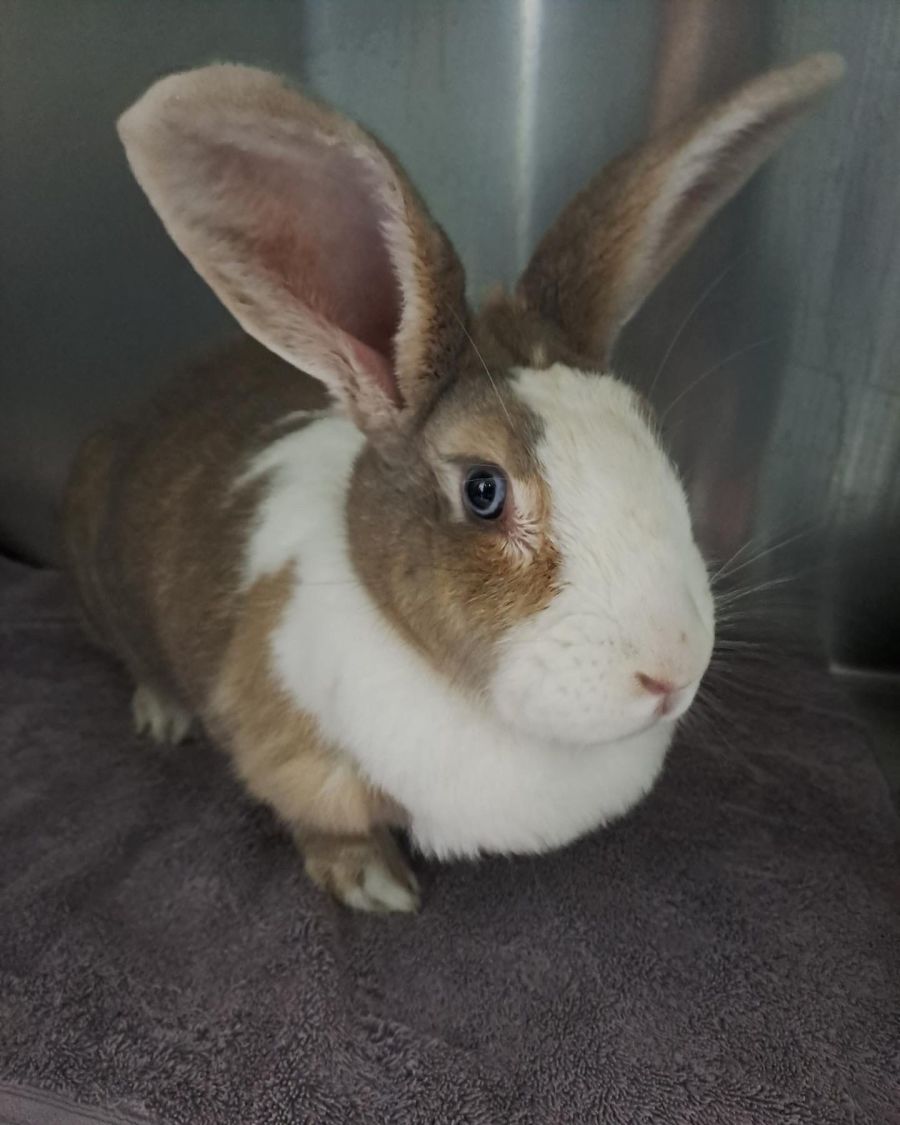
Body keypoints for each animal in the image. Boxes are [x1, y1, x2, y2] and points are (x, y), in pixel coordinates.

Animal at [64, 53, 843, 912]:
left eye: (649, 432)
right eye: (483, 490)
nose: (673, 669)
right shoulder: (286, 746)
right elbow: (323, 819)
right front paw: (374, 884)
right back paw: (162, 712)